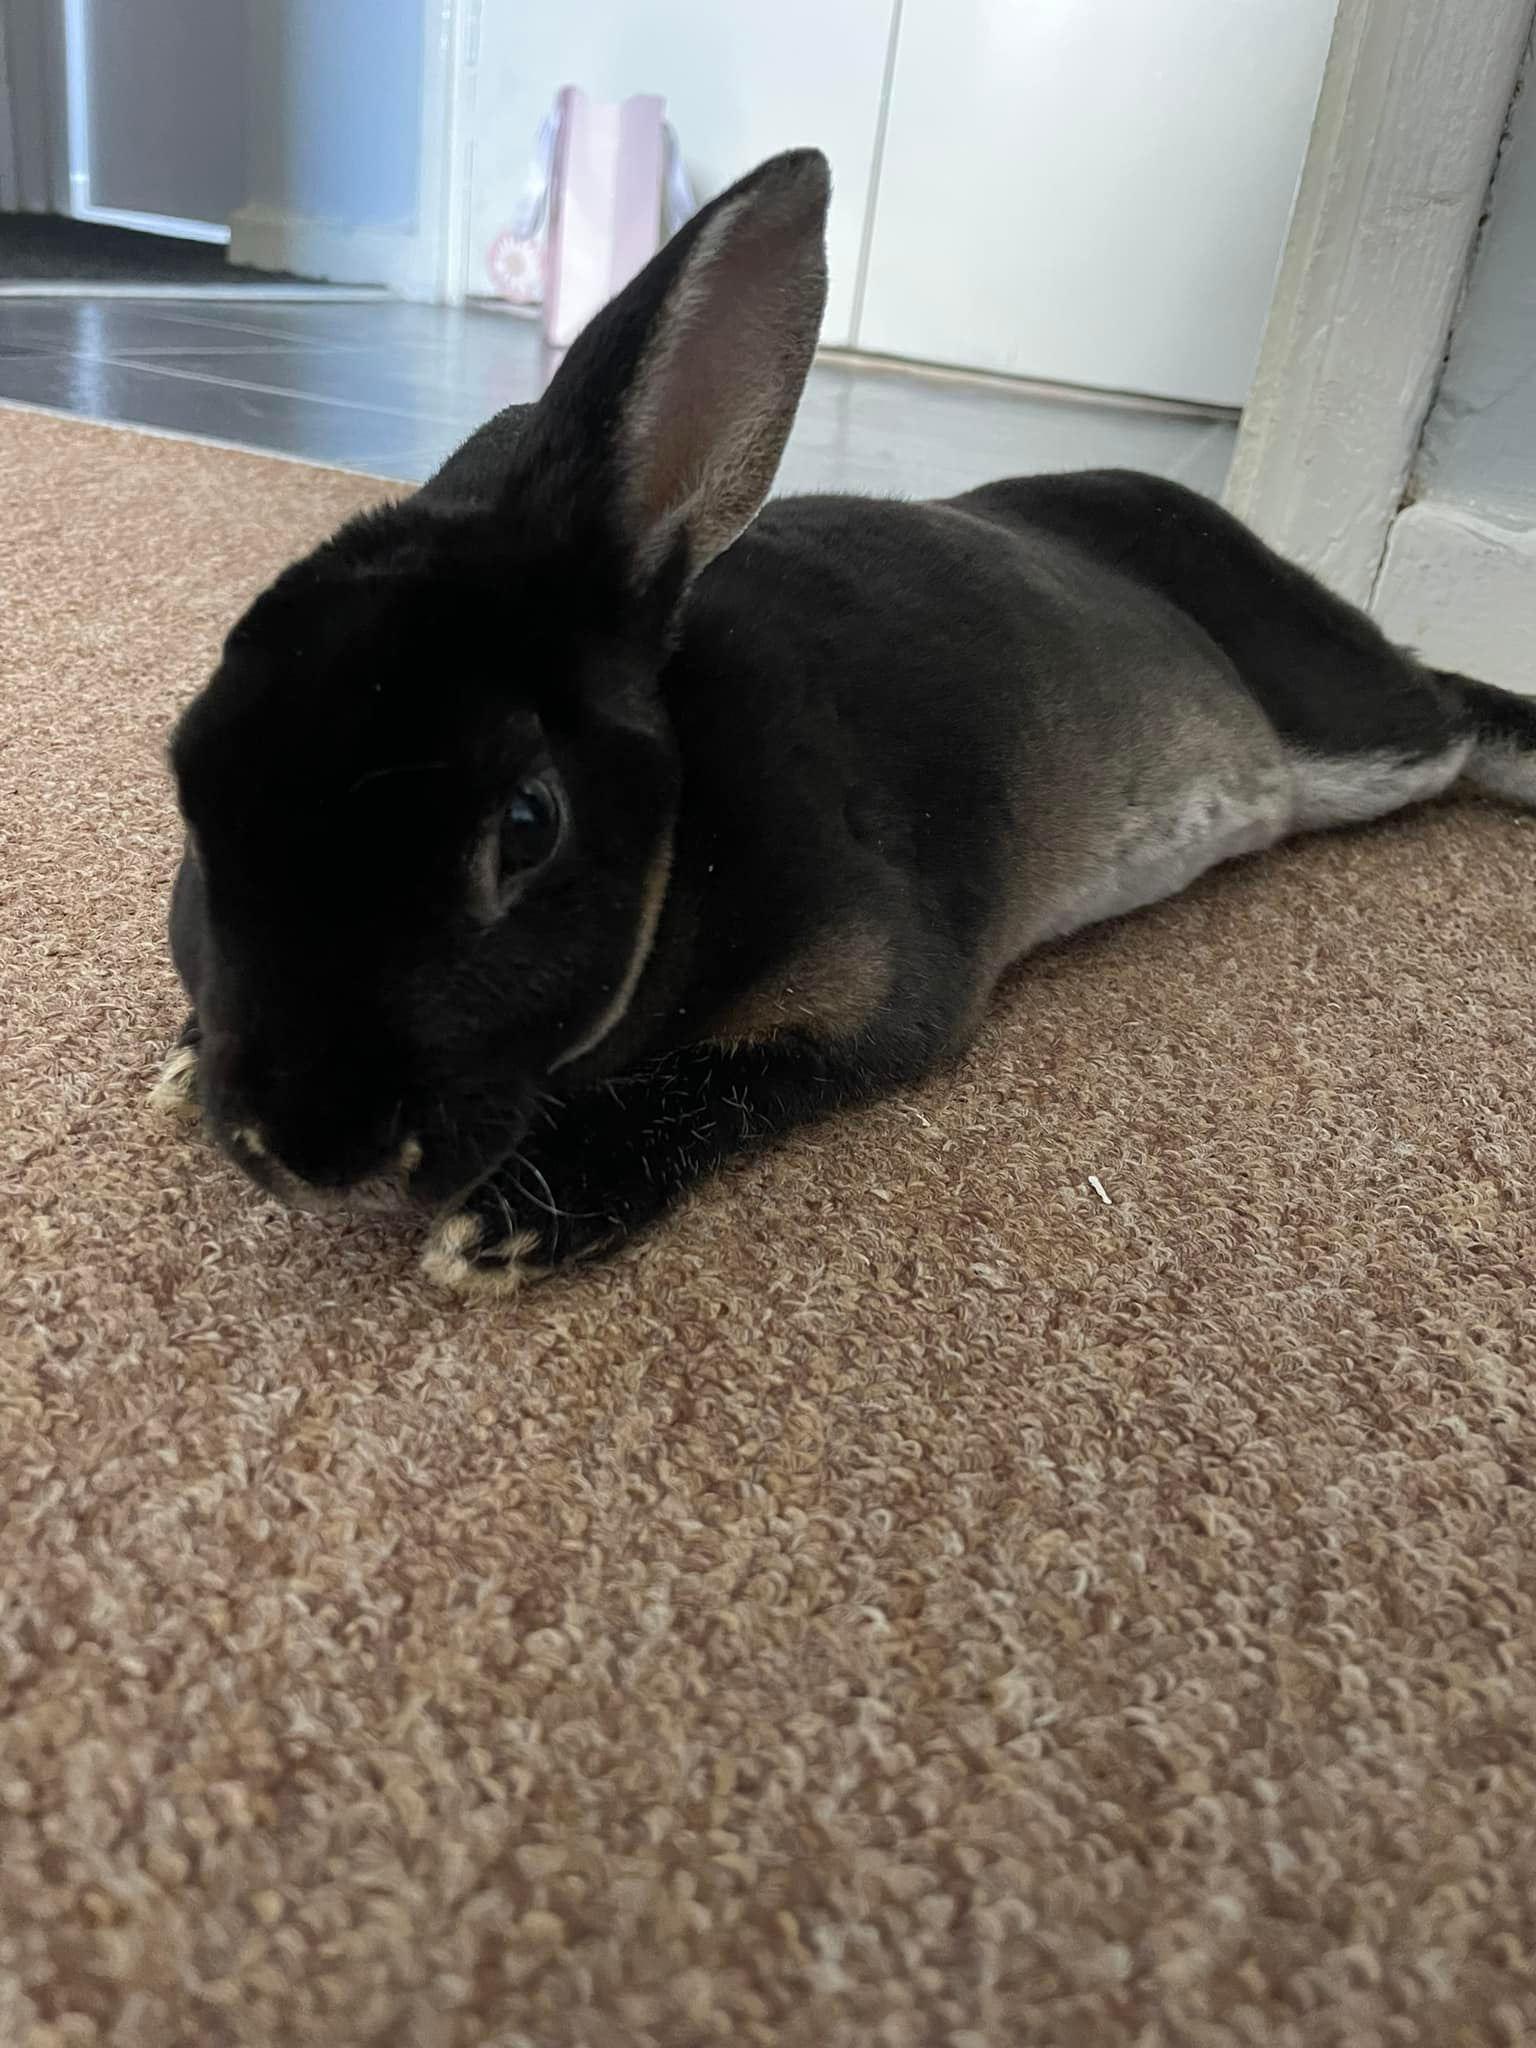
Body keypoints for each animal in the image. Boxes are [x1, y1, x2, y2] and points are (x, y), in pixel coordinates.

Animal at [154, 147, 1536, 1298]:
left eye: (528, 824)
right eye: (188, 779)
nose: (301, 1148)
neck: (686, 829)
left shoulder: (871, 987)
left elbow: (702, 1088)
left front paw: (506, 1225)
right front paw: (180, 1059)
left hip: (1359, 729)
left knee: (1454, 709)